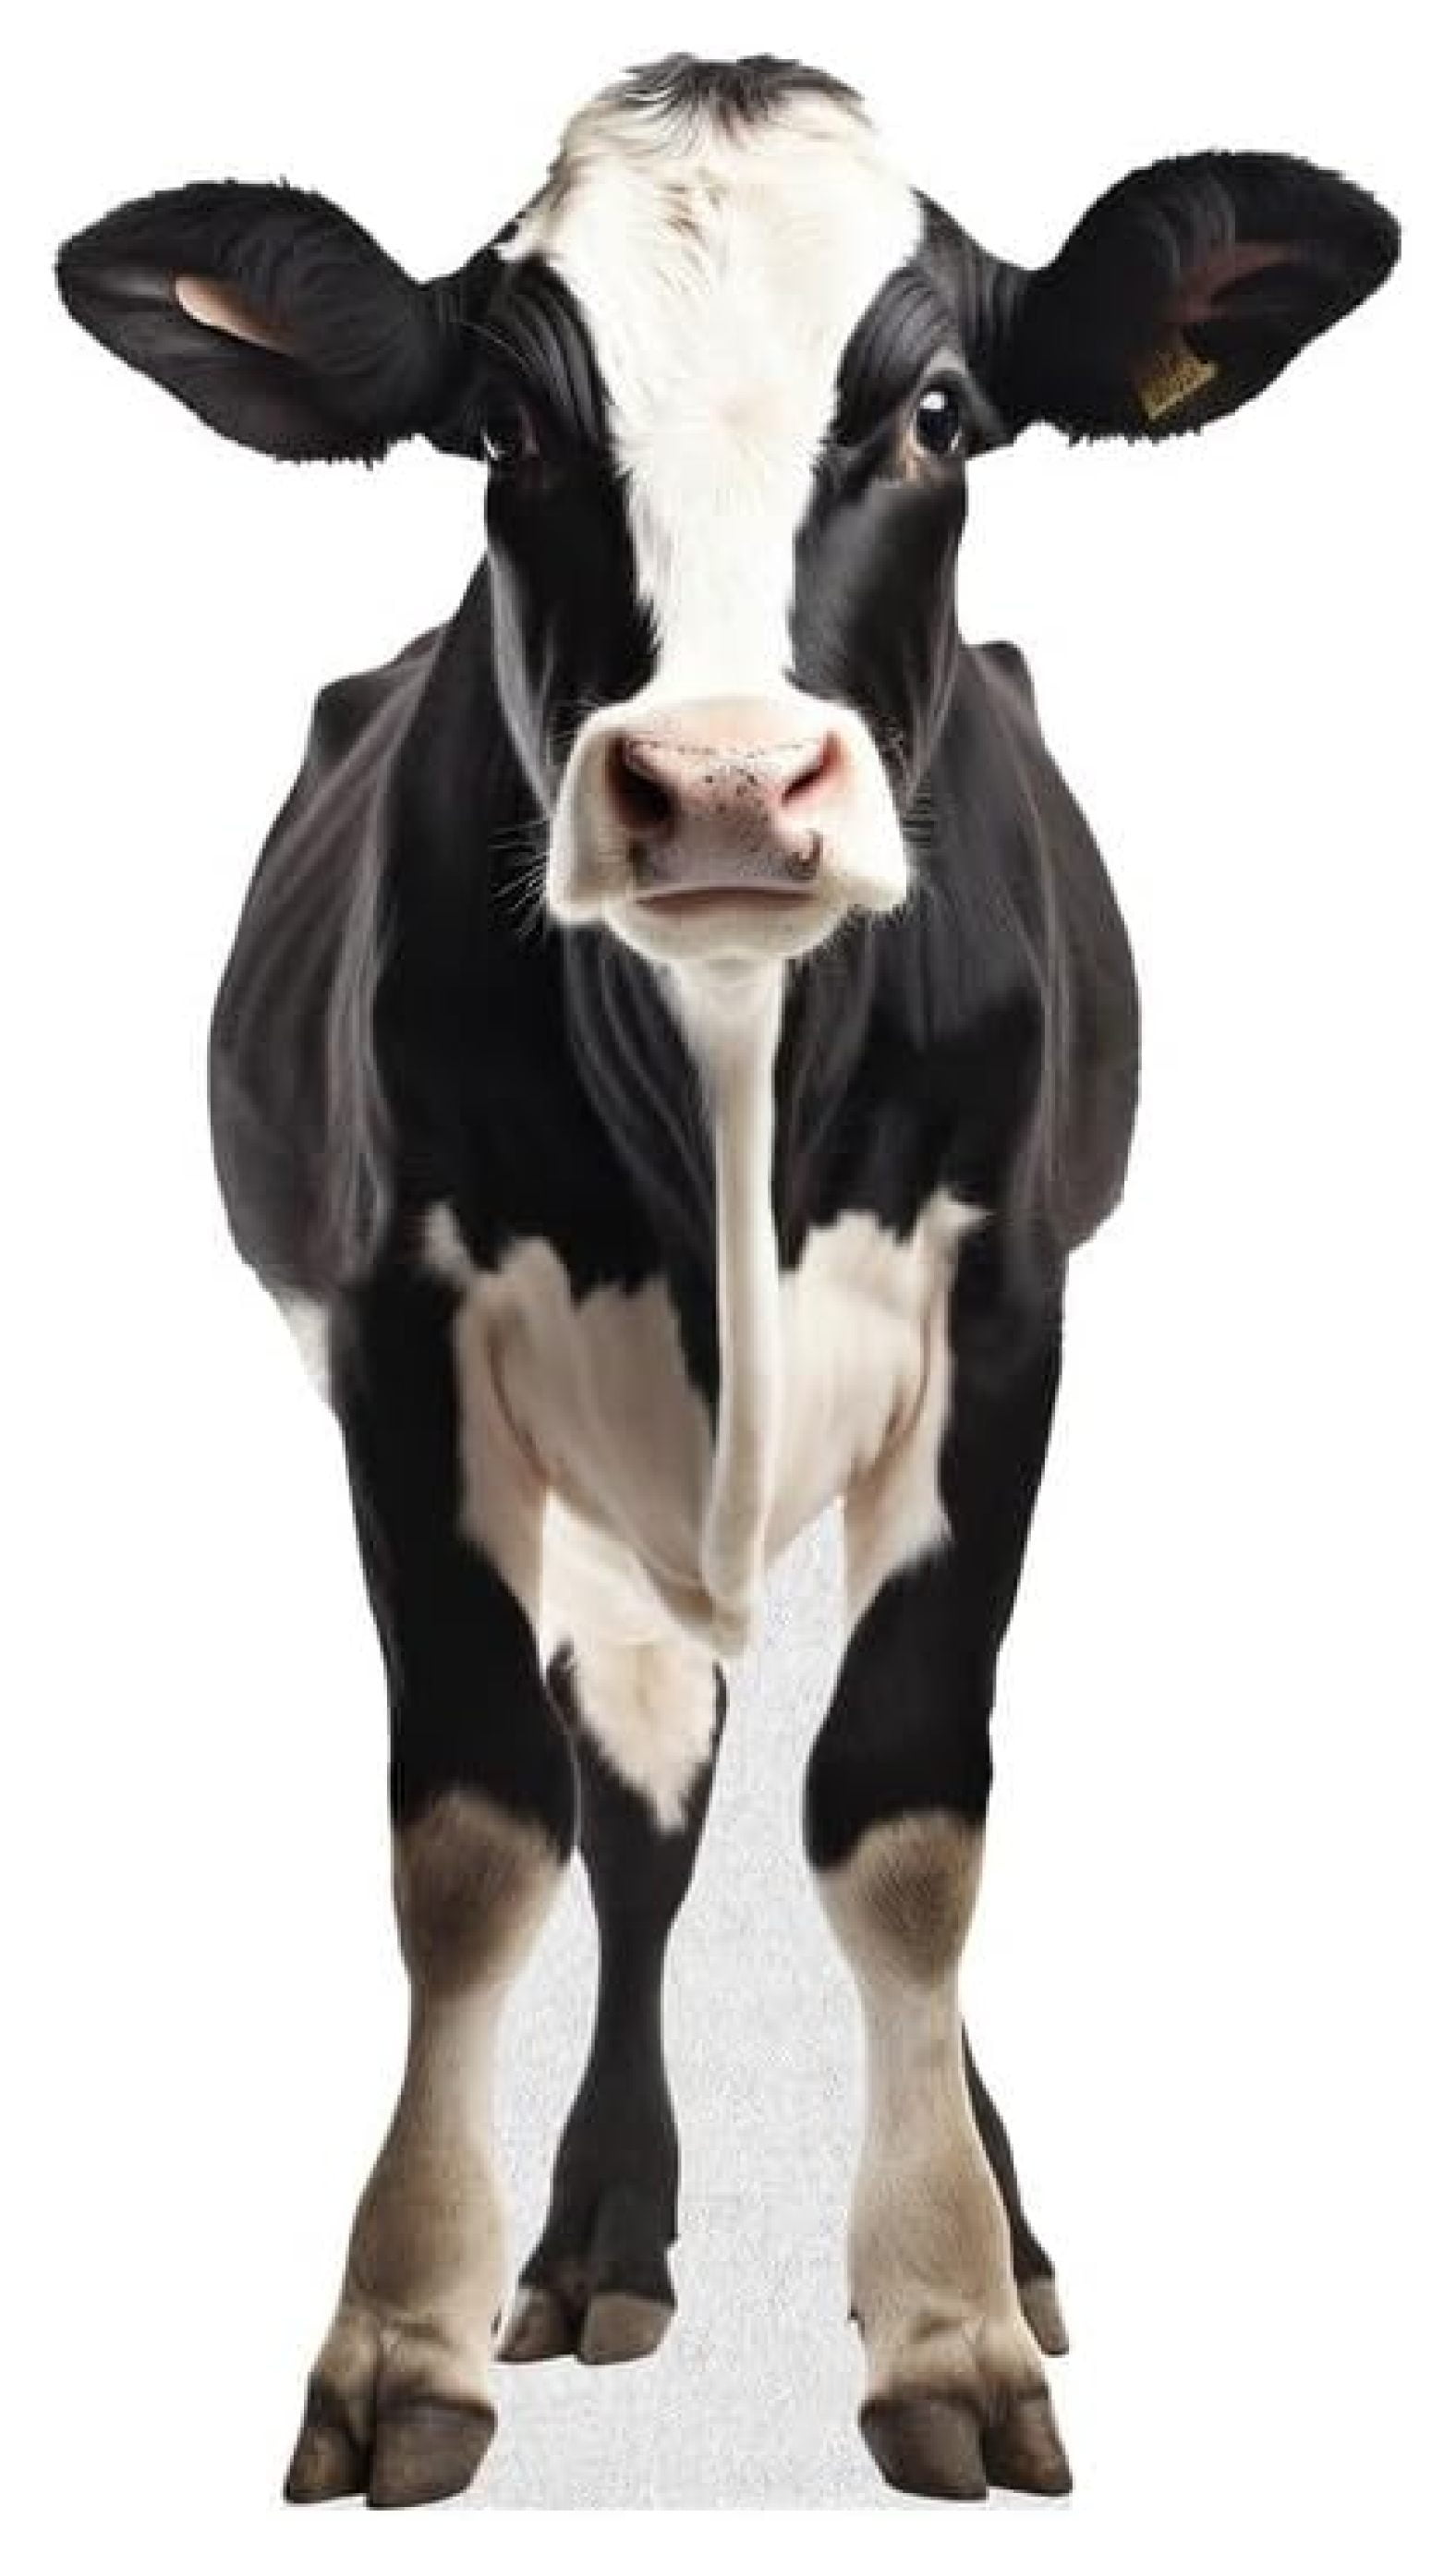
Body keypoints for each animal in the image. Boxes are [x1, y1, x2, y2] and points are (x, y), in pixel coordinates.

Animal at [56, 51, 1397, 2510]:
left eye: (941, 409)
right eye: (505, 423)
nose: (719, 783)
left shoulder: (1007, 1318)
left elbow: (907, 1811)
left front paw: (953, 2314)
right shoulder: (404, 1342)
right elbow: (485, 1832)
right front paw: (402, 2331)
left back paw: (998, 2226)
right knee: (646, 1817)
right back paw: (601, 2238)